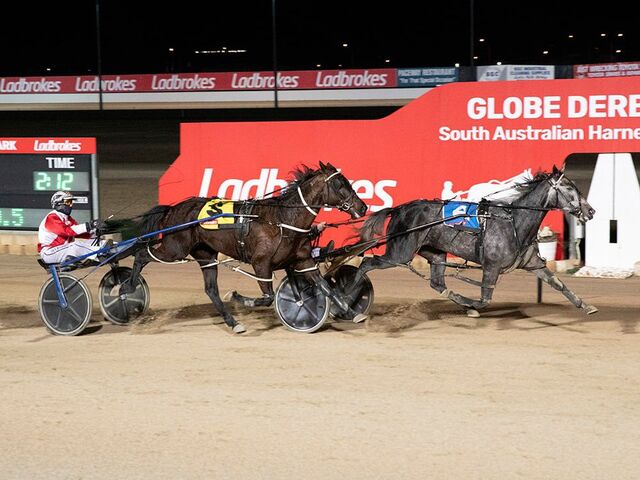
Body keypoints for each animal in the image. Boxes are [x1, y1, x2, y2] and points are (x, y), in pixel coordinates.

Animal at [118, 162, 368, 333]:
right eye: (340, 184)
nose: (363, 207)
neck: (282, 220)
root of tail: (172, 208)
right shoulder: (261, 264)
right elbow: (267, 297)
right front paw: (238, 296)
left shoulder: (302, 261)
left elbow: (325, 287)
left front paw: (352, 312)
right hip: (174, 248)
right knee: (141, 254)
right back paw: (125, 288)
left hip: (206, 255)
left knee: (211, 290)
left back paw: (233, 322)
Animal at [354, 165, 598, 317]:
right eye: (569, 187)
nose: (591, 210)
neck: (514, 220)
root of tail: (399, 209)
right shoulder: (491, 266)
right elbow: (484, 299)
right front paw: (472, 306)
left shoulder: (533, 264)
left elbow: (558, 284)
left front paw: (586, 306)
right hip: (399, 253)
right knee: (366, 263)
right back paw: (353, 297)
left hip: (435, 254)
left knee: (438, 284)